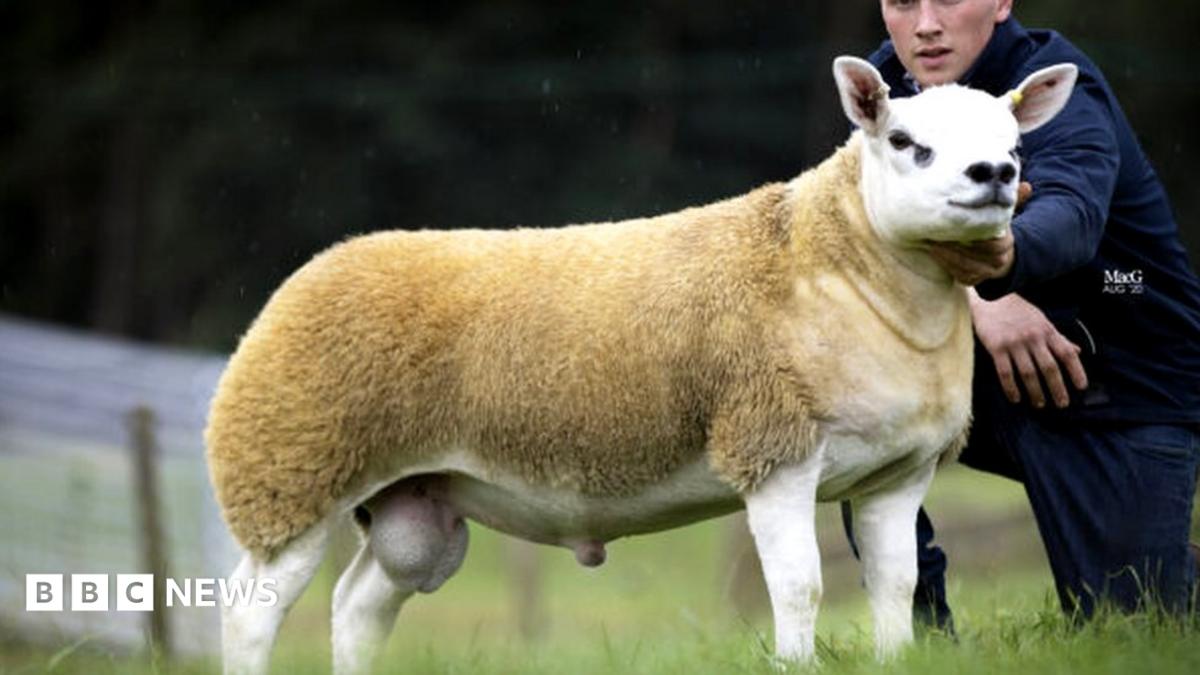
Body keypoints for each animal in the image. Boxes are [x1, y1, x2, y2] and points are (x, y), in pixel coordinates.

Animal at [205, 56, 1078, 674]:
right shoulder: (772, 447)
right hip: (289, 471)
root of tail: (314, 268)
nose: (995, 176)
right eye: (905, 143)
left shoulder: (901, 471)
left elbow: (897, 585)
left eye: (1015, 144)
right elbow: (801, 585)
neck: (843, 264)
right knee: (249, 613)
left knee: (357, 607)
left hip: (412, 502)